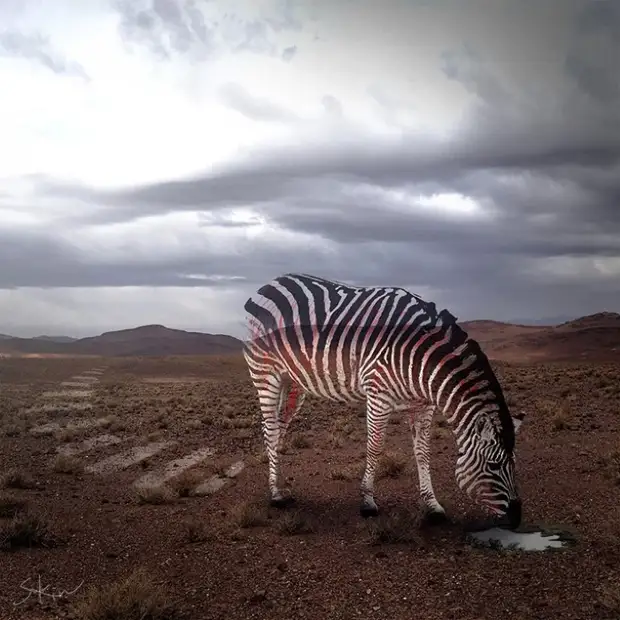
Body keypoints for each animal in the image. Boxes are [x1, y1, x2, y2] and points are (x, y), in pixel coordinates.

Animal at [242, 272, 524, 528]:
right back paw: (275, 496)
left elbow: (423, 453)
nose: (516, 519)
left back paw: (278, 485)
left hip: (294, 384)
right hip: (265, 375)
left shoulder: (424, 405)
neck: (420, 358)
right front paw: (367, 501)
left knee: (279, 429)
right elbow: (375, 447)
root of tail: (271, 282)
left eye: (513, 464)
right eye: (493, 466)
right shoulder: (378, 395)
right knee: (269, 429)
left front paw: (432, 505)